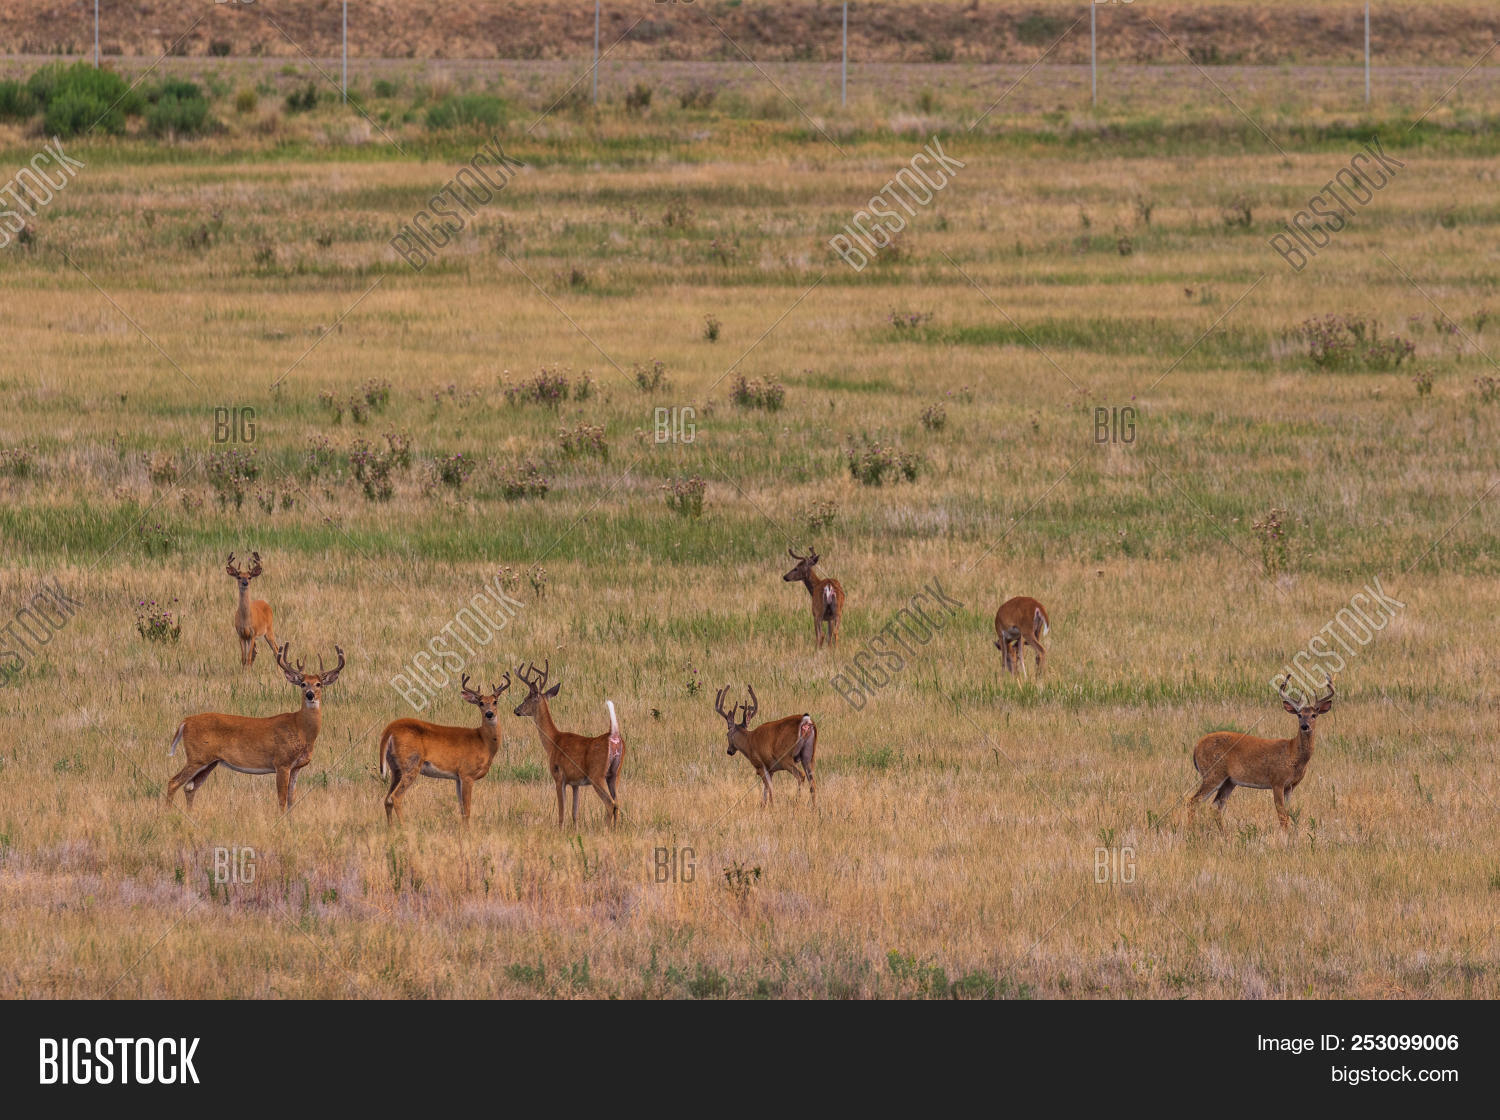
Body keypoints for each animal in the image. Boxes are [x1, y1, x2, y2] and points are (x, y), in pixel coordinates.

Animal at [166, 638, 344, 812]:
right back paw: (168, 812)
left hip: (210, 762)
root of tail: (185, 722)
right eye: (303, 684)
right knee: (173, 782)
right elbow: (281, 800)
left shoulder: (296, 767)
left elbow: (291, 799)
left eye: (318, 684)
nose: (310, 695)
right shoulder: (281, 762)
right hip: (197, 756)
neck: (300, 728)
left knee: (190, 788)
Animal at [378, 673, 512, 824]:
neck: (483, 741)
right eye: (481, 702)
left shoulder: (458, 777)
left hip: (395, 768)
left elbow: (462, 809)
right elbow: (467, 810)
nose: (489, 714)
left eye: (495, 701)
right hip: (411, 763)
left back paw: (391, 827)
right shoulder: (467, 774)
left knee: (387, 800)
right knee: (395, 797)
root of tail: (390, 729)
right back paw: (405, 826)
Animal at [511, 659, 623, 827]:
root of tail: (614, 736)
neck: (553, 741)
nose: (516, 710)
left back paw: (607, 829)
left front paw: (560, 829)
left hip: (597, 775)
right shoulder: (575, 783)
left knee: (610, 804)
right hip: (615, 773)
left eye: (525, 699)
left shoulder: (559, 776)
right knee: (618, 803)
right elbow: (574, 813)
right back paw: (616, 829)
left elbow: (561, 812)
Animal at [1187, 674, 1336, 831]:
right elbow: (1282, 816)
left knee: (1216, 807)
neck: (1292, 753)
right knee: (1193, 801)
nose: (1305, 726)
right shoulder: (1277, 781)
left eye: (1314, 715)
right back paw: (1192, 831)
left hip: (1229, 781)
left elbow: (1289, 813)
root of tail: (1196, 747)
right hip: (1212, 773)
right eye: (1299, 715)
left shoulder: (1291, 786)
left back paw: (1223, 833)